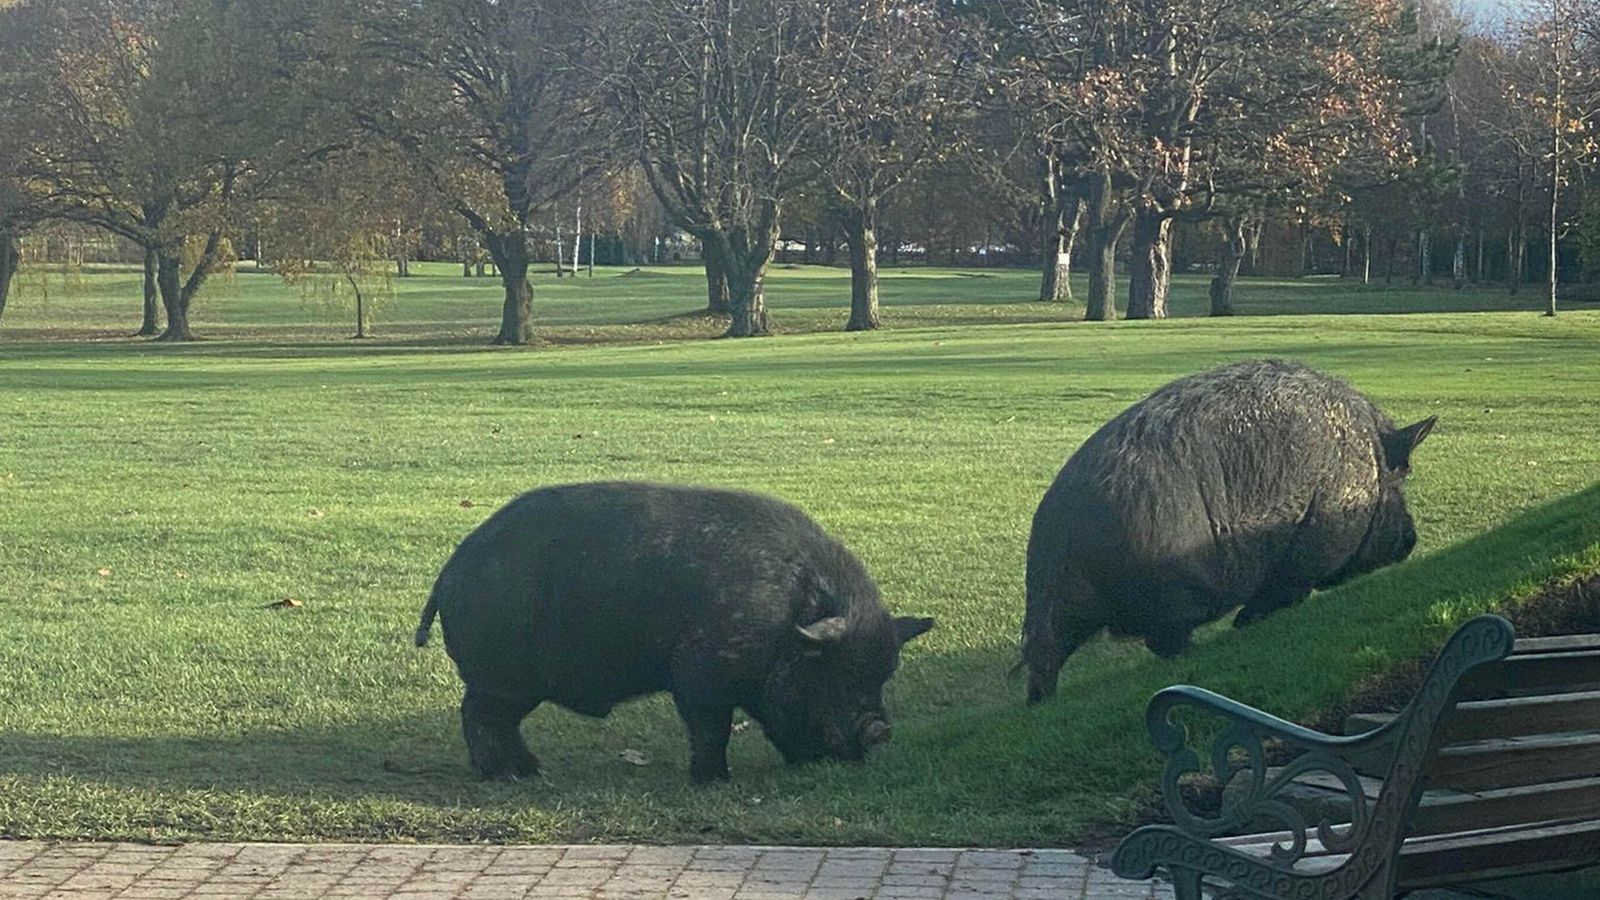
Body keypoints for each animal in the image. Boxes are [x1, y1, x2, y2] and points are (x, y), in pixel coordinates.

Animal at [415, 481, 935, 784]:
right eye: (838, 673)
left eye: (881, 676)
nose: (882, 730)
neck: (786, 622)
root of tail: (449, 571)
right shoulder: (701, 674)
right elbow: (711, 728)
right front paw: (716, 782)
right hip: (501, 678)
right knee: (479, 716)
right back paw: (511, 776)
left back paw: (531, 771)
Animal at [1023, 359, 1435, 703]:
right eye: (1400, 479)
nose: (1411, 539)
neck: (1369, 463)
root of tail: (1059, 530)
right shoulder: (1314, 545)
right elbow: (1287, 588)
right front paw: (1244, 624)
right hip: (1175, 589)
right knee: (1163, 639)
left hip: (1059, 601)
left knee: (1046, 650)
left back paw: (1041, 702)